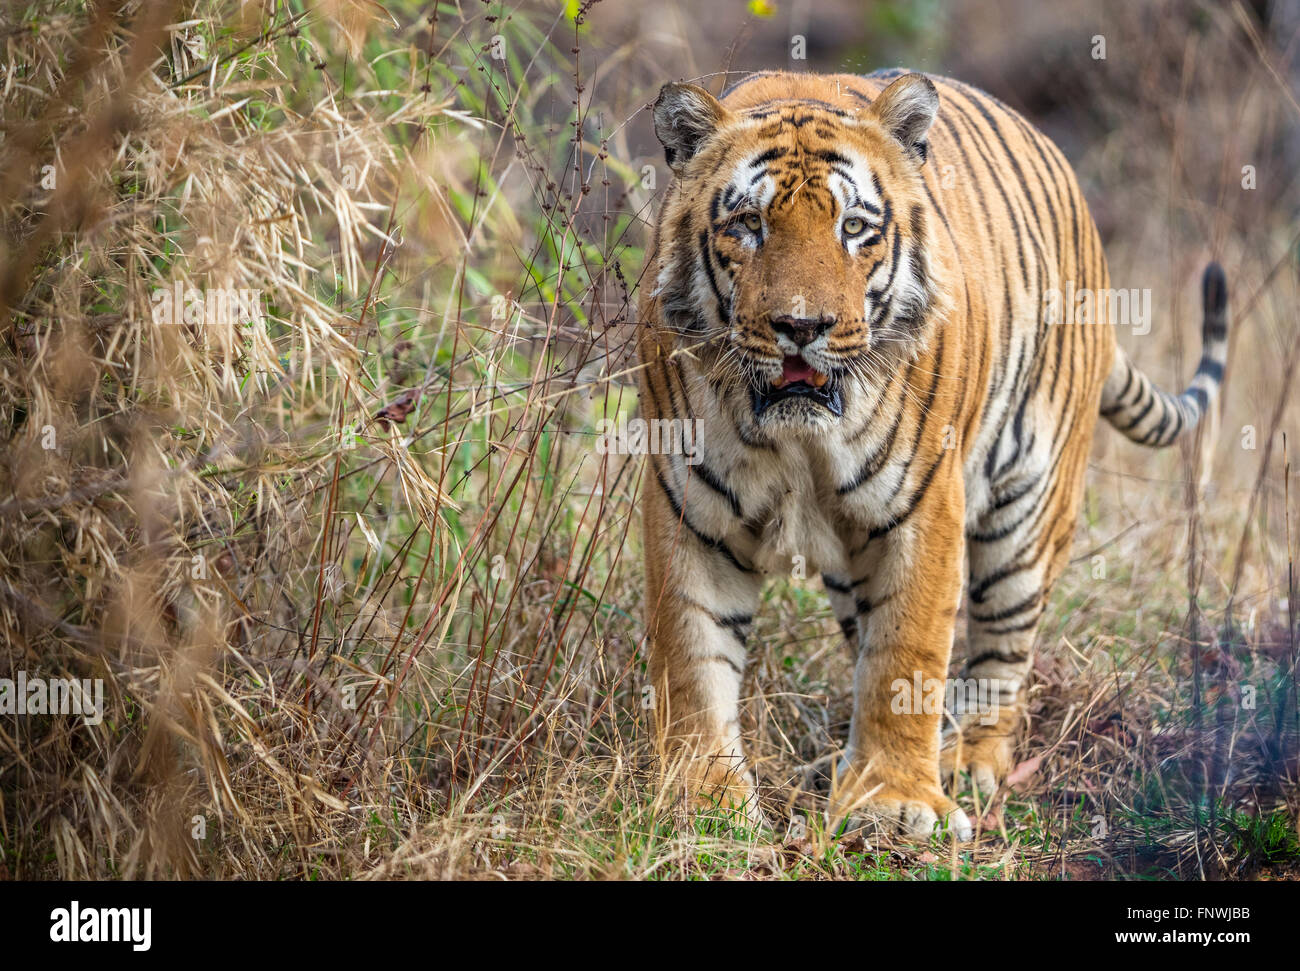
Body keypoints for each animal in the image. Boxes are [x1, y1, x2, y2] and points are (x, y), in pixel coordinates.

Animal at [635, 68, 1228, 840]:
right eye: (748, 225)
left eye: (854, 228)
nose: (801, 326)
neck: (798, 437)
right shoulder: (690, 509)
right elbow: (692, 655)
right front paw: (701, 800)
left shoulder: (923, 504)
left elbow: (905, 656)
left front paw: (895, 801)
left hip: (1028, 510)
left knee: (1002, 646)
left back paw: (968, 760)